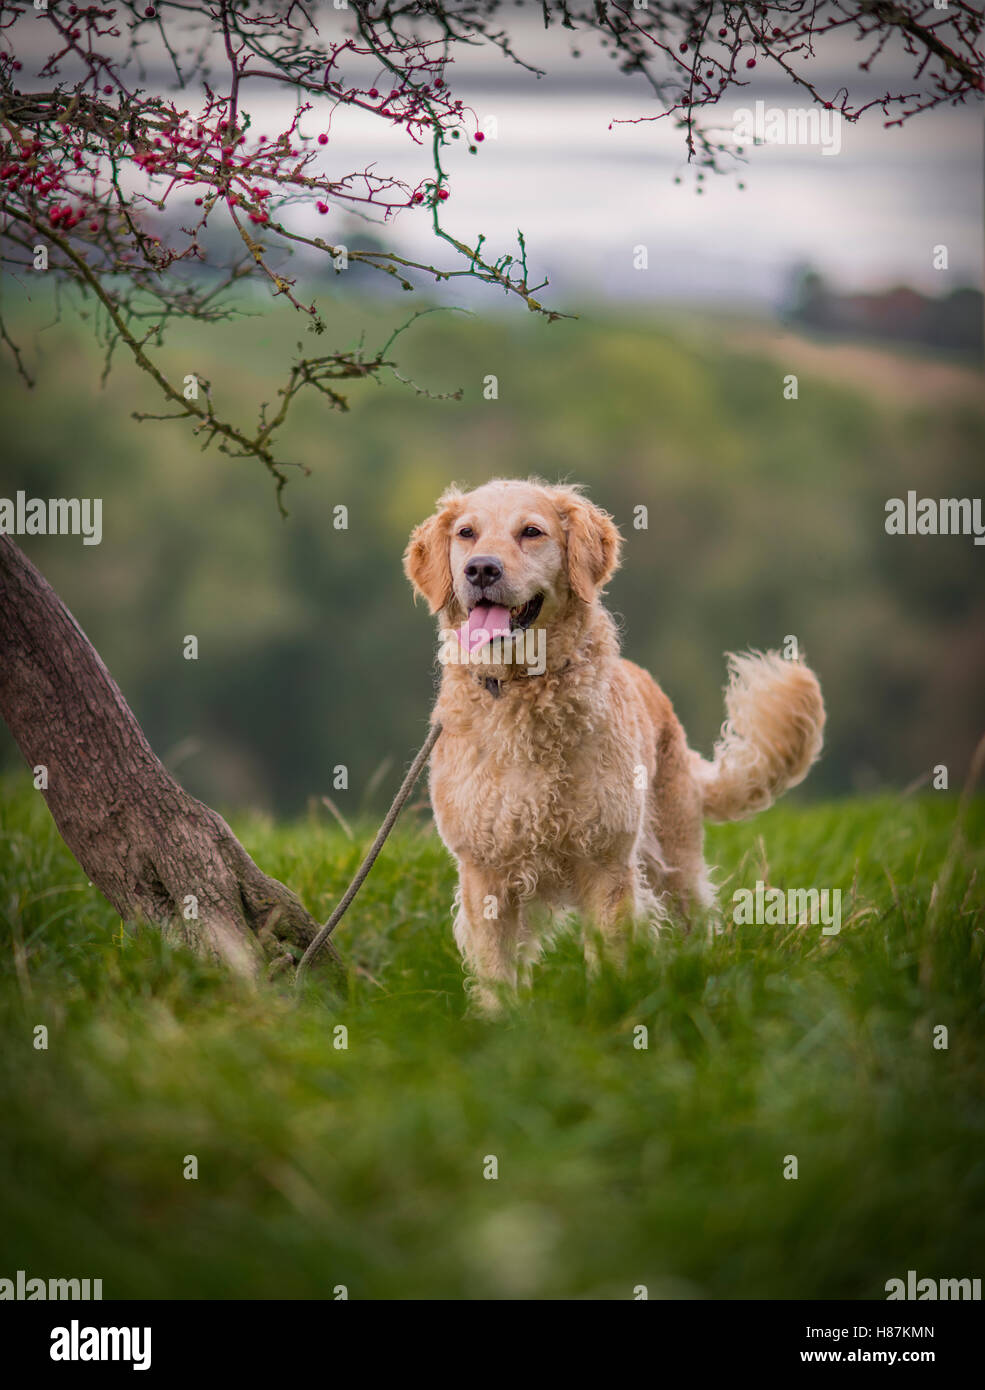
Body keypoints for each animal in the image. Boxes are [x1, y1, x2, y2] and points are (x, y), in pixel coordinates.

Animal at [402, 478, 822, 1011]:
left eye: (531, 532)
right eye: (466, 533)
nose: (480, 569)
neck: (523, 693)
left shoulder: (606, 862)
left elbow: (609, 961)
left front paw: (610, 1014)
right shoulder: (485, 871)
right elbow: (497, 972)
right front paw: (500, 1022)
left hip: (674, 859)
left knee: (697, 920)